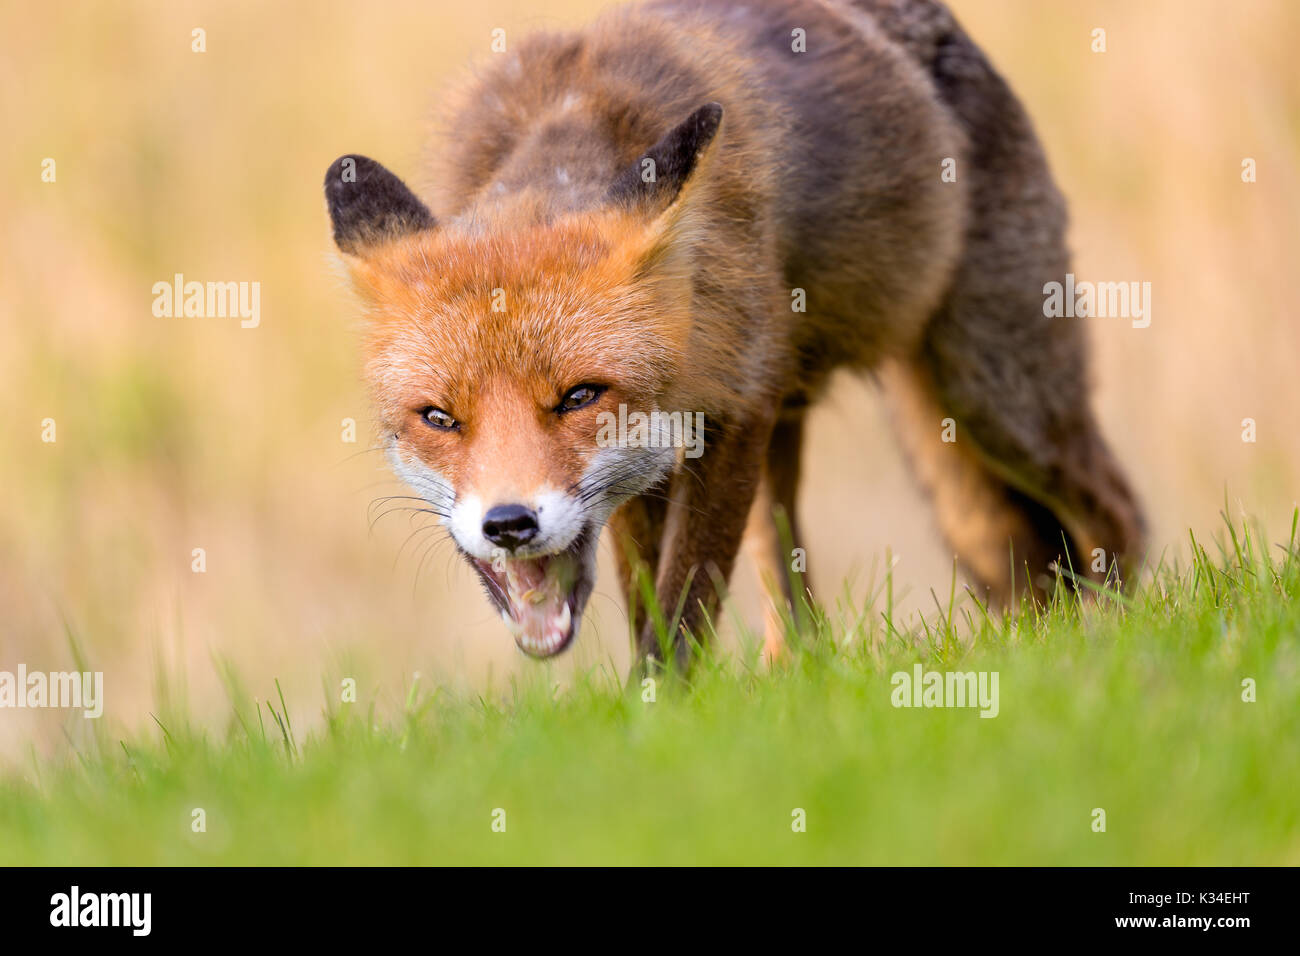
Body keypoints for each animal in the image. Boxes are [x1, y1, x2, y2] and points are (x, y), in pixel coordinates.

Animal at [325, 0, 1145, 669]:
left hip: (997, 406)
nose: (508, 524)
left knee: (1116, 513)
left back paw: (1125, 636)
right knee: (795, 595)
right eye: (438, 418)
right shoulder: (656, 468)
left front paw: (659, 716)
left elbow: (681, 613)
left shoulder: (730, 418)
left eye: (579, 397)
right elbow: (647, 603)